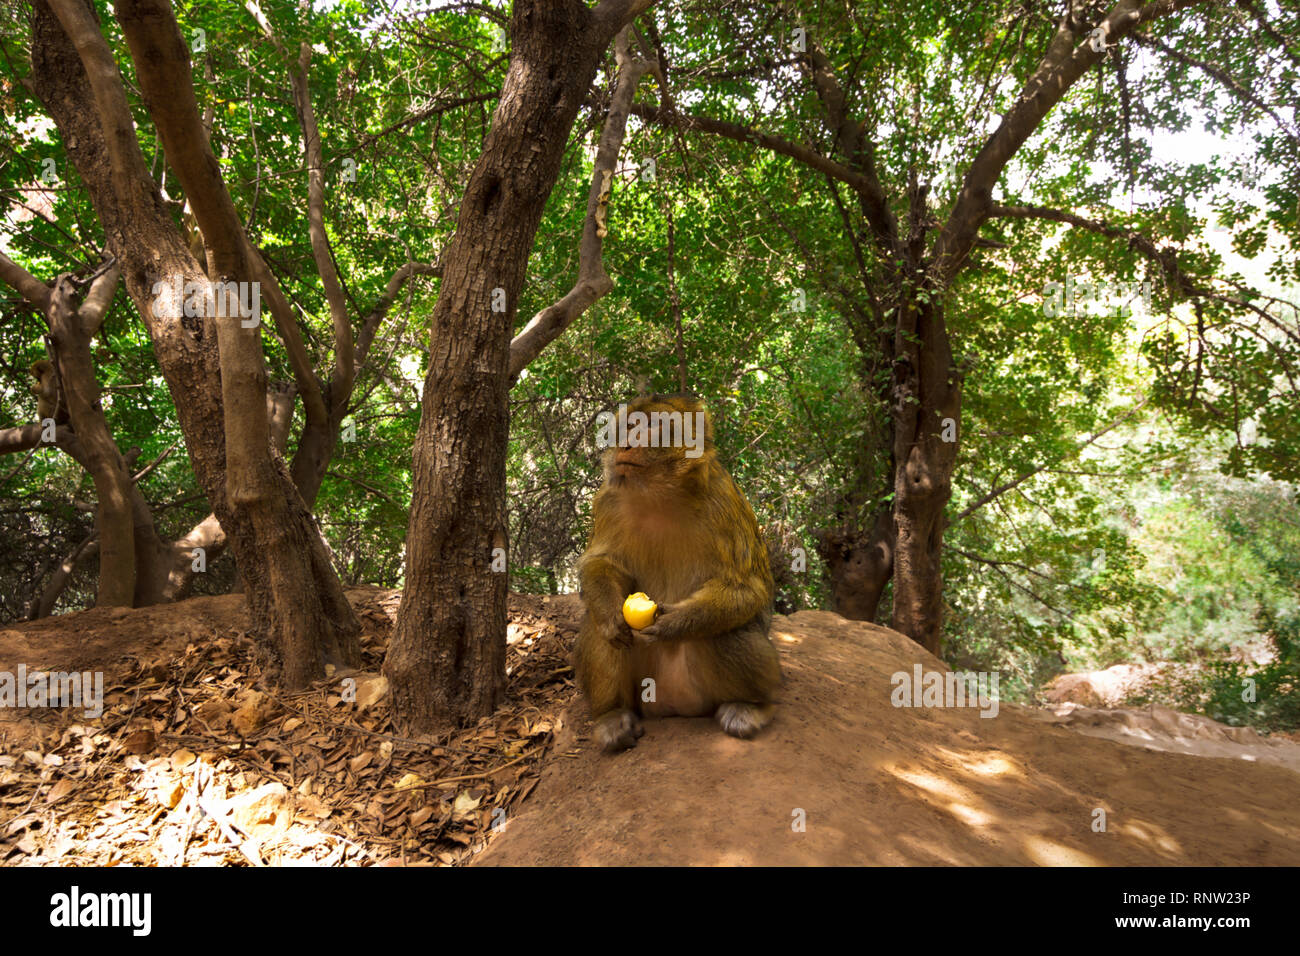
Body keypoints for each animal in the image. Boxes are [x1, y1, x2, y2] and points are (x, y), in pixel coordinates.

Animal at [573, 393, 782, 753]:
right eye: (629, 426)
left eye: (650, 427)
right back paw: (612, 717)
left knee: (724, 631)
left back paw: (753, 706)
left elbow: (748, 589)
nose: (625, 444)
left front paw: (675, 624)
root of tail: (671, 705)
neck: (659, 494)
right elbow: (601, 563)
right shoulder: (607, 499)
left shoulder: (722, 498)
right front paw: (611, 613)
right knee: (597, 629)